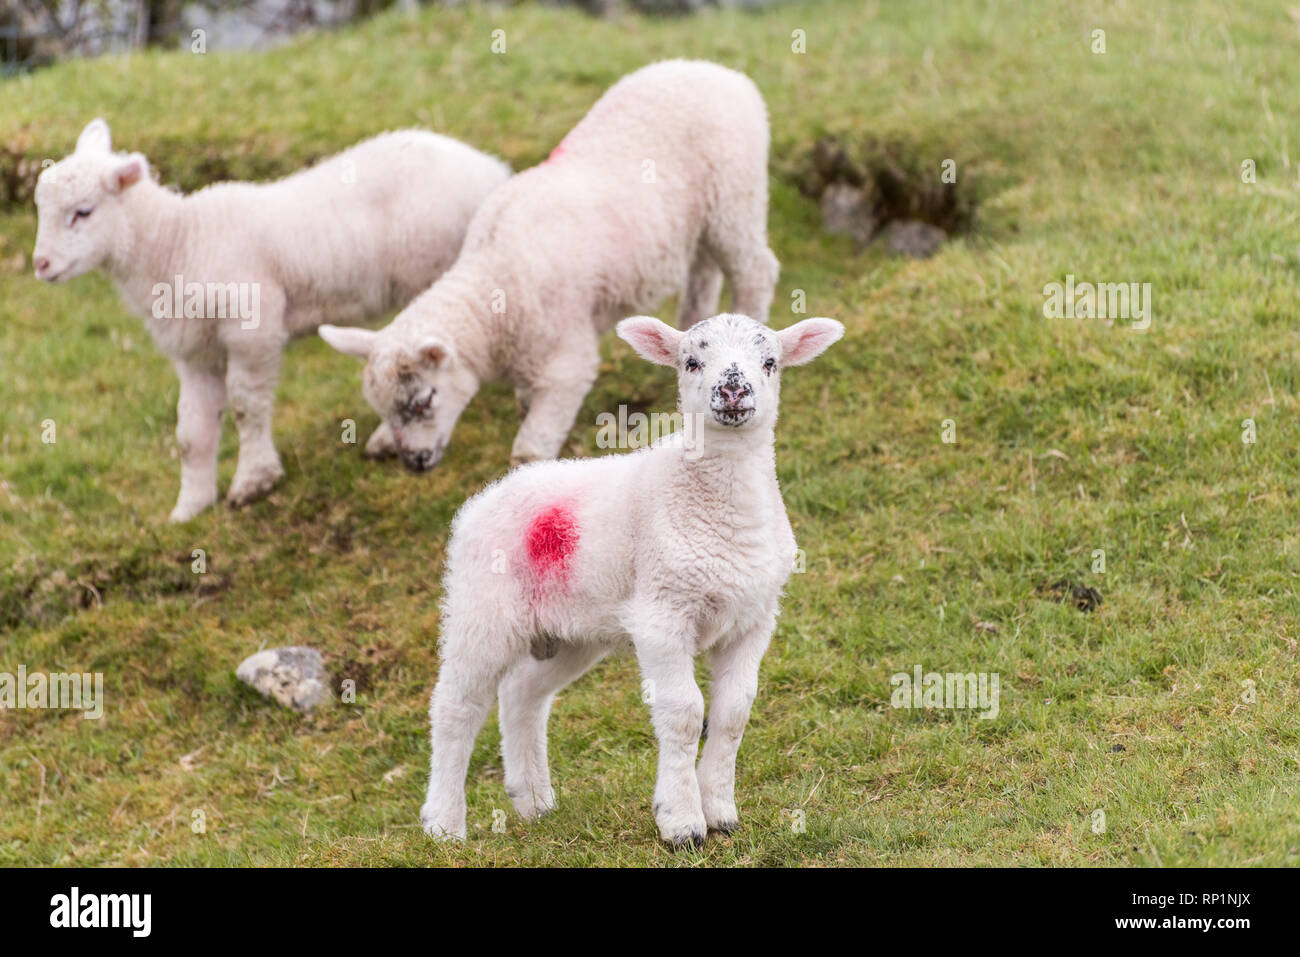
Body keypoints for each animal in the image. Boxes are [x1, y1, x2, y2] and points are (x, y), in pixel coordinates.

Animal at [32, 119, 511, 521]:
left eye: (83, 212)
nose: (41, 264)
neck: (180, 243)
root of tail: (490, 167)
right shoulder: (195, 351)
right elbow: (191, 432)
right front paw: (190, 506)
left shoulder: (253, 330)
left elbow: (247, 406)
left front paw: (254, 480)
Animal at [319, 59, 780, 474]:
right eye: (384, 409)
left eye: (424, 401)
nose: (414, 464)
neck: (492, 283)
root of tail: (722, 72)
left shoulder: (566, 357)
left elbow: (532, 445)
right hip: (699, 218)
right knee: (704, 270)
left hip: (734, 196)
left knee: (755, 268)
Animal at [418, 312, 844, 846]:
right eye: (691, 361)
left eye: (770, 361)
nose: (733, 390)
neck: (721, 506)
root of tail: (482, 499)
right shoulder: (661, 614)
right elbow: (684, 713)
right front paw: (682, 822)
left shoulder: (753, 619)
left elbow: (732, 714)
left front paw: (721, 813)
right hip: (483, 609)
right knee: (457, 707)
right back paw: (443, 824)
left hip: (569, 631)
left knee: (522, 695)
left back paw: (534, 803)